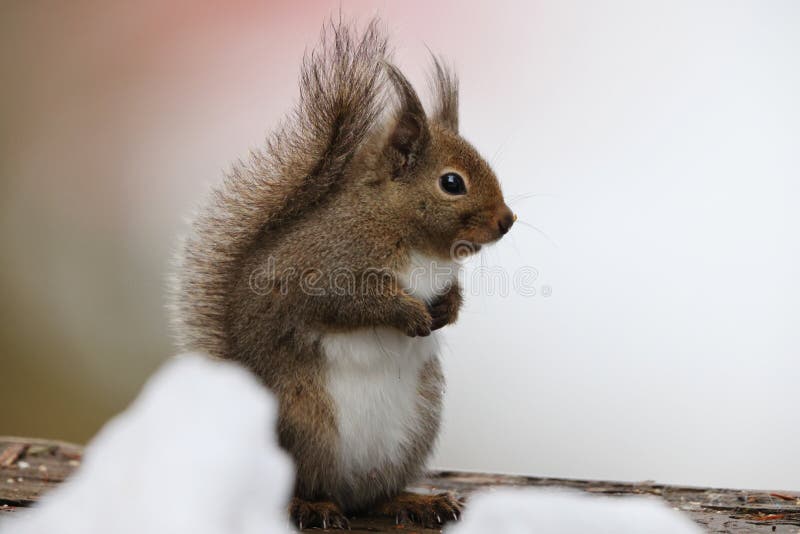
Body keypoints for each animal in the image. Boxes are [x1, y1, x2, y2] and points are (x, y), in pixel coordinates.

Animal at [170, 18, 514, 530]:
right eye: (452, 182)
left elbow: (450, 295)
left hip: (413, 430)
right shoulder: (325, 268)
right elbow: (351, 302)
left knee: (372, 498)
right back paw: (312, 506)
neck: (404, 230)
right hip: (305, 421)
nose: (508, 220)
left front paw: (446, 311)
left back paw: (413, 501)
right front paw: (410, 315)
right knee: (304, 486)